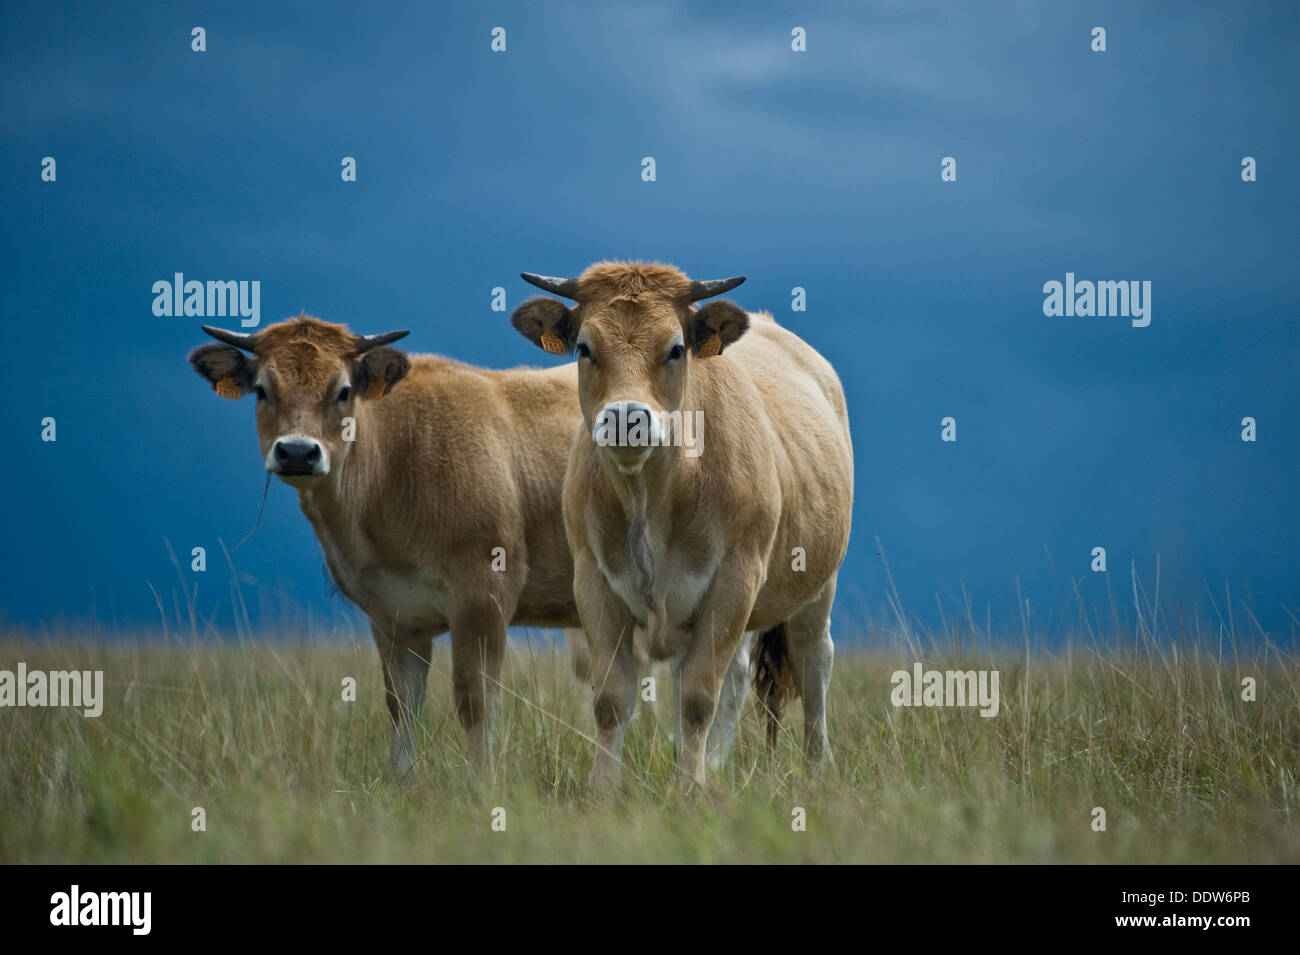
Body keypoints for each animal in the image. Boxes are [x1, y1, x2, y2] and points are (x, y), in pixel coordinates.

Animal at [188, 315, 590, 779]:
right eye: (262, 389)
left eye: (343, 390)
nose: (298, 452)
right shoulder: (393, 616)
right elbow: (402, 706)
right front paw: (402, 782)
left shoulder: (483, 595)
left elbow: (475, 702)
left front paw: (483, 783)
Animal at [510, 263, 854, 786]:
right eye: (585, 348)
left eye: (675, 348)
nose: (626, 418)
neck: (650, 499)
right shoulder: (592, 581)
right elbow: (612, 698)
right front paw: (603, 788)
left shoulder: (734, 579)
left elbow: (696, 697)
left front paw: (688, 787)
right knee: (735, 678)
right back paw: (716, 763)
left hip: (817, 582)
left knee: (814, 660)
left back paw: (816, 766)